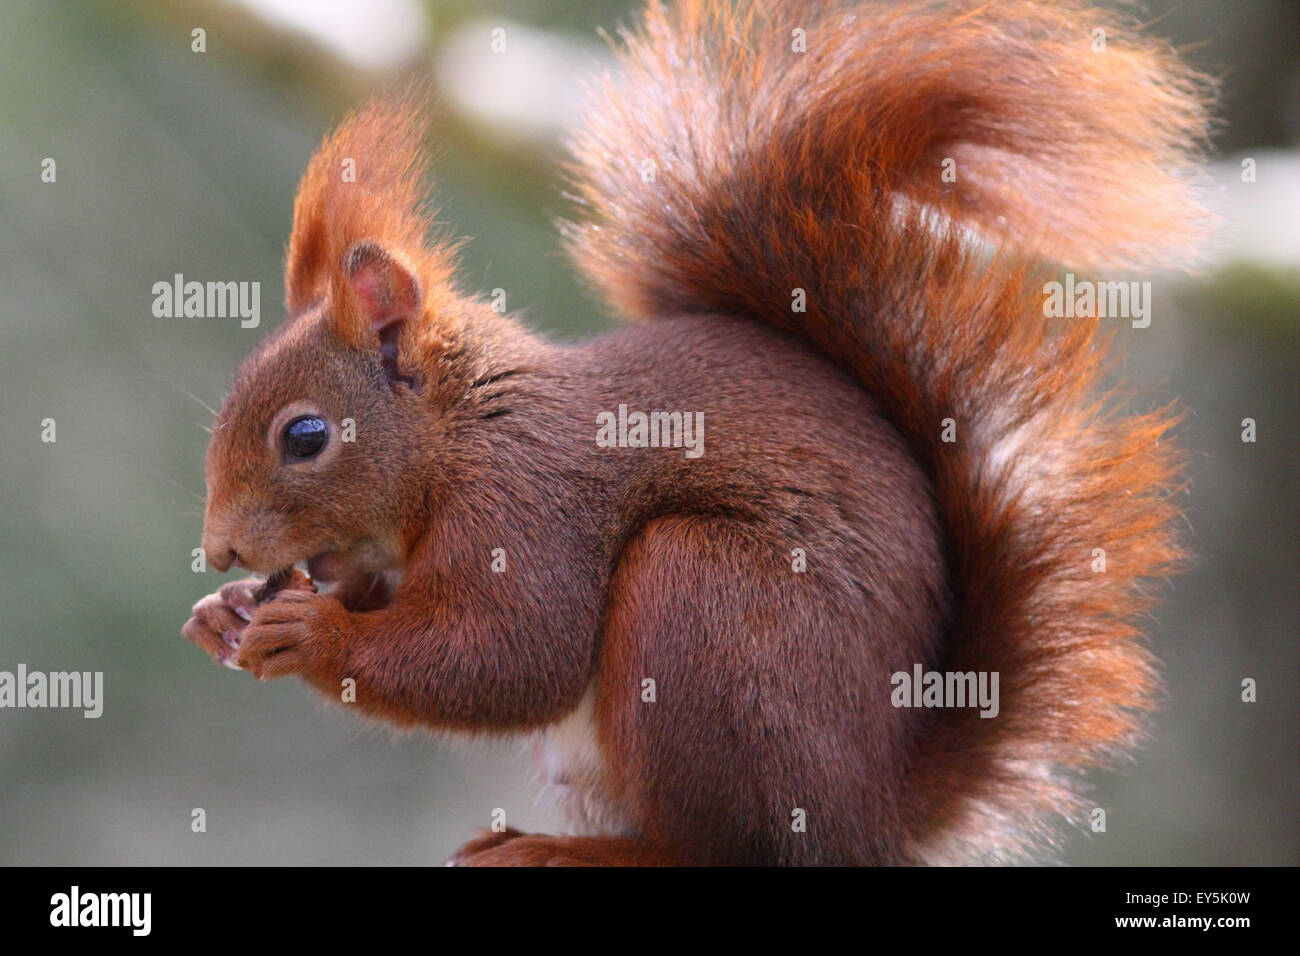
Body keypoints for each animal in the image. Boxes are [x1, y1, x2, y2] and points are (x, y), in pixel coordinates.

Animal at [182, 0, 1211, 865]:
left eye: (305, 436)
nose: (219, 549)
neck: (458, 433)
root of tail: (874, 813)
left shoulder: (528, 503)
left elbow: (510, 656)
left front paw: (312, 633)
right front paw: (228, 612)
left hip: (708, 608)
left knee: (722, 847)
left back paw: (569, 853)